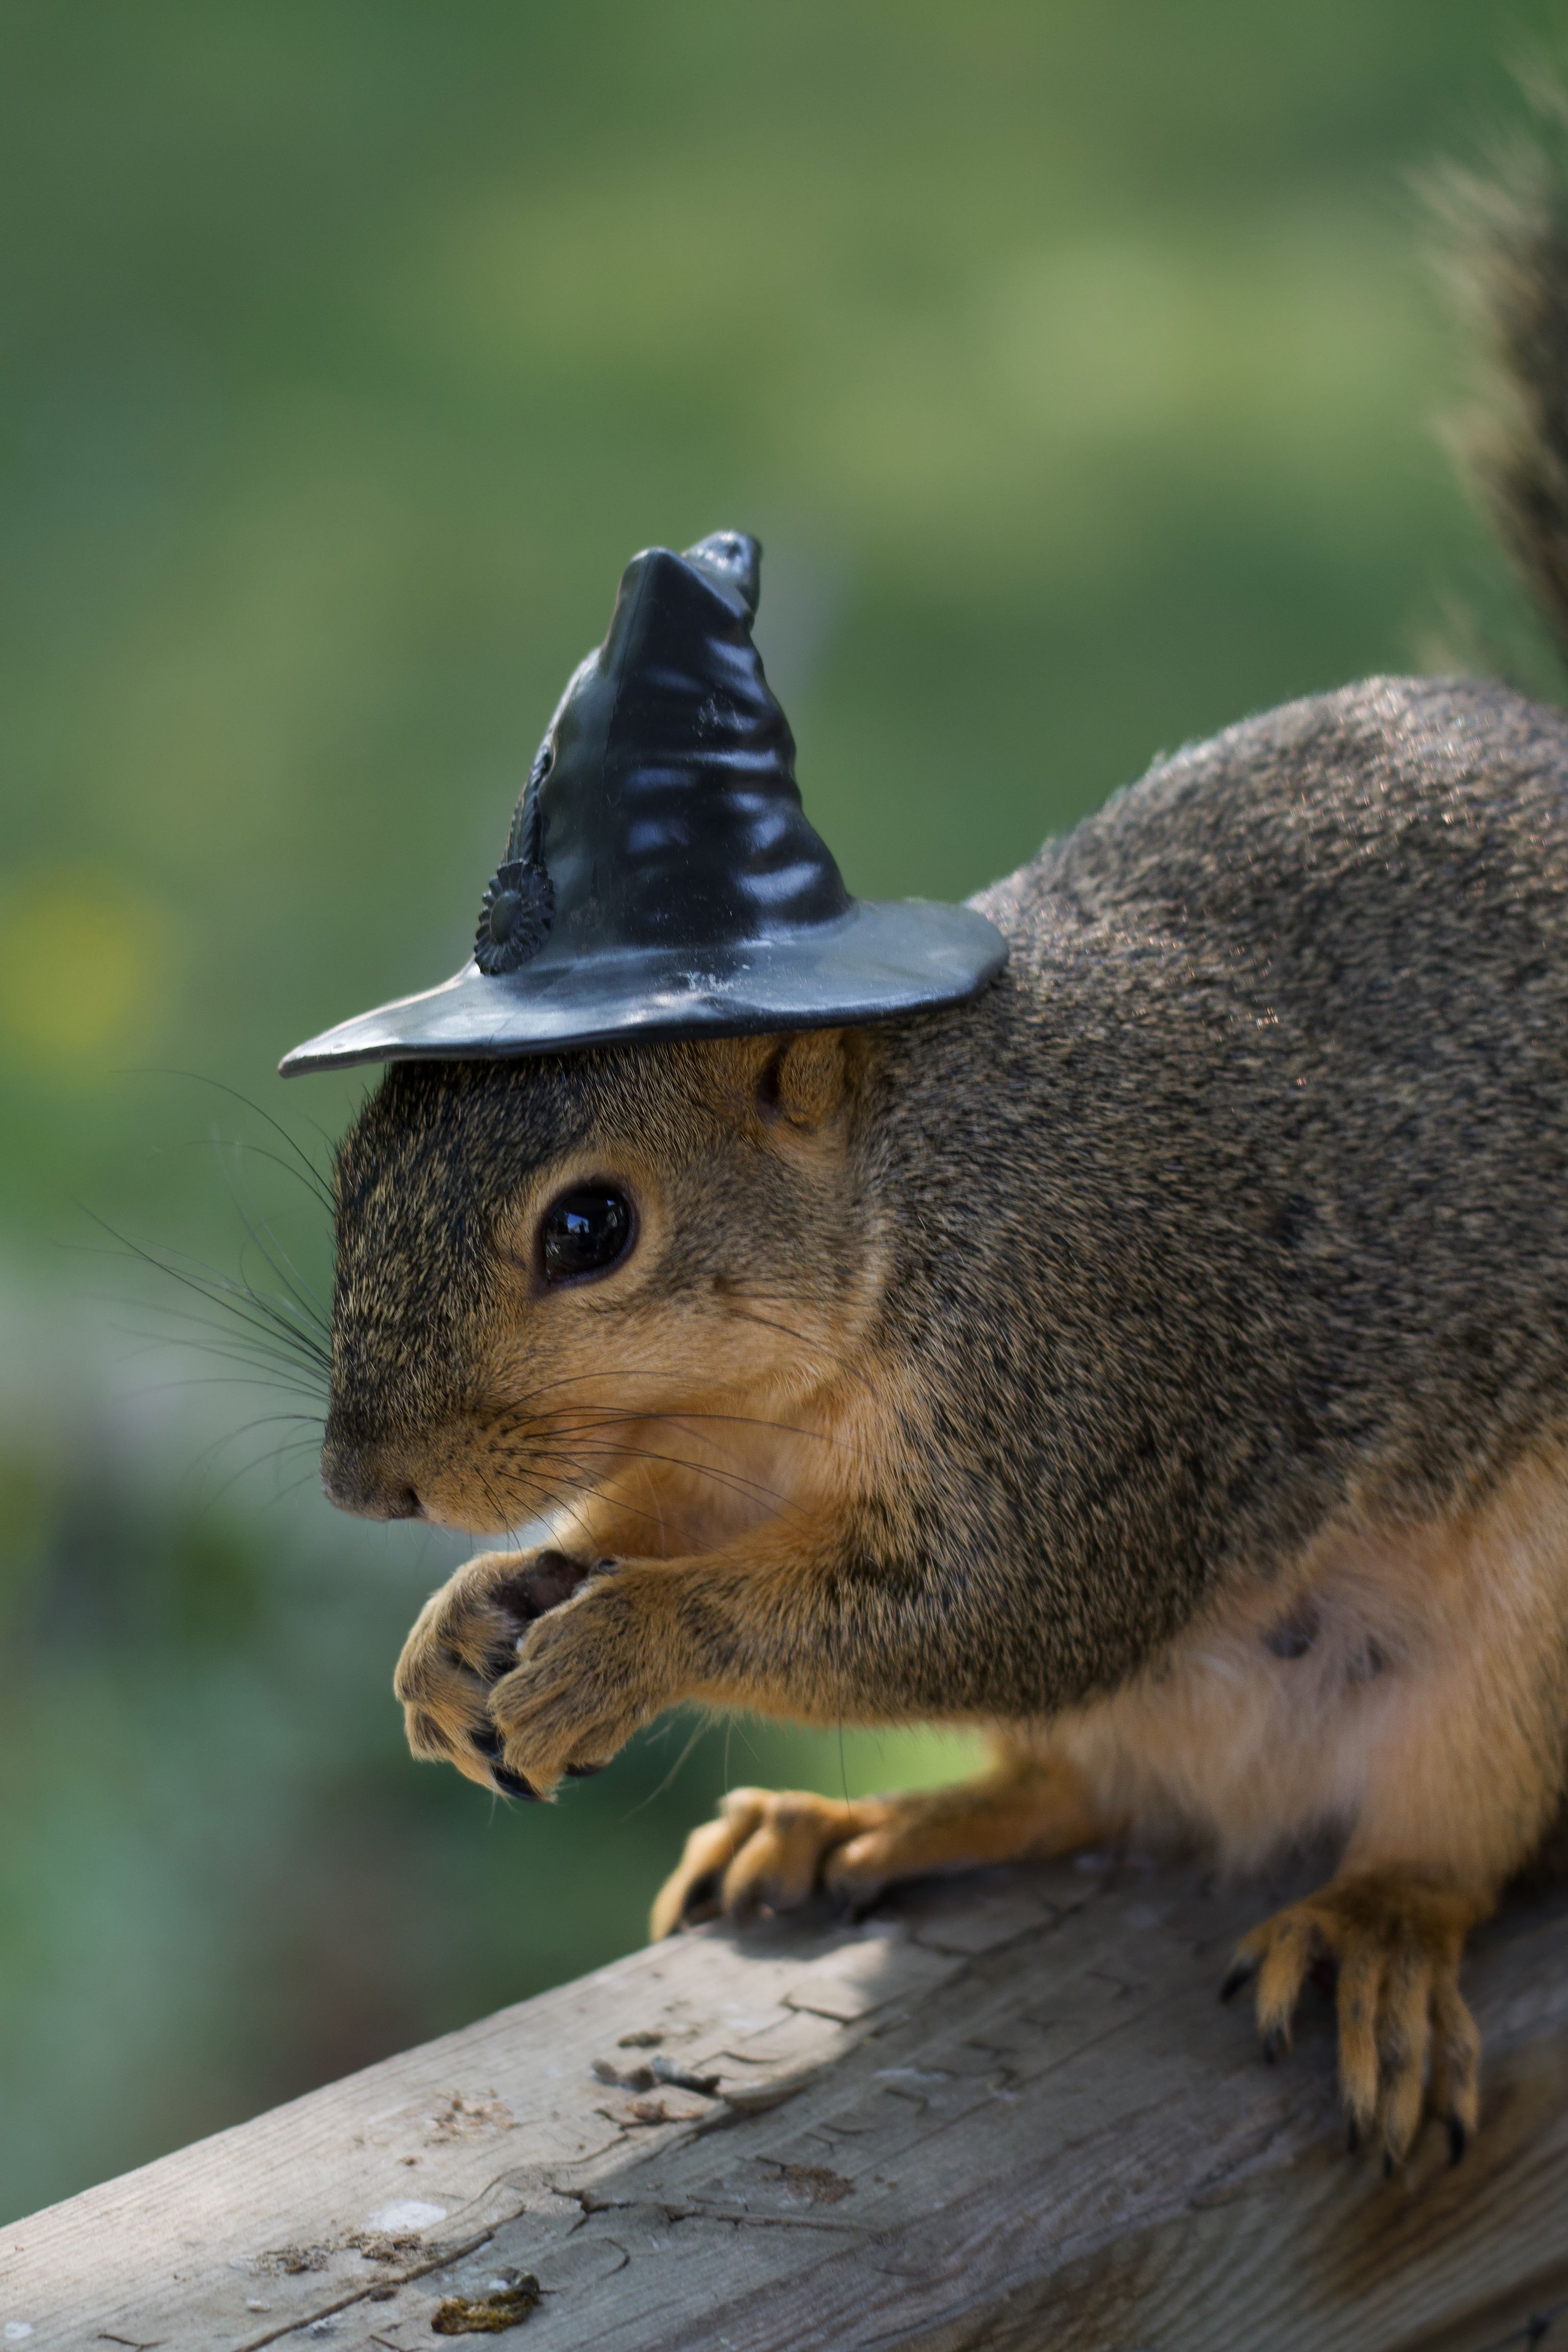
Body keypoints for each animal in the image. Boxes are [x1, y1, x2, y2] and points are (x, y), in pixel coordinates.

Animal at [318, 149, 1568, 2170]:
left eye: (590, 1227)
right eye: (360, 1164)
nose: (367, 1485)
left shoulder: (1092, 1381)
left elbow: (974, 1604)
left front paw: (622, 1639)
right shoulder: (721, 1448)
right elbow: (664, 1534)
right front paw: (471, 1617)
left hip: (1525, 1649)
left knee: (1440, 1845)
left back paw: (1376, 1931)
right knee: (1076, 1785)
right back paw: (864, 1820)